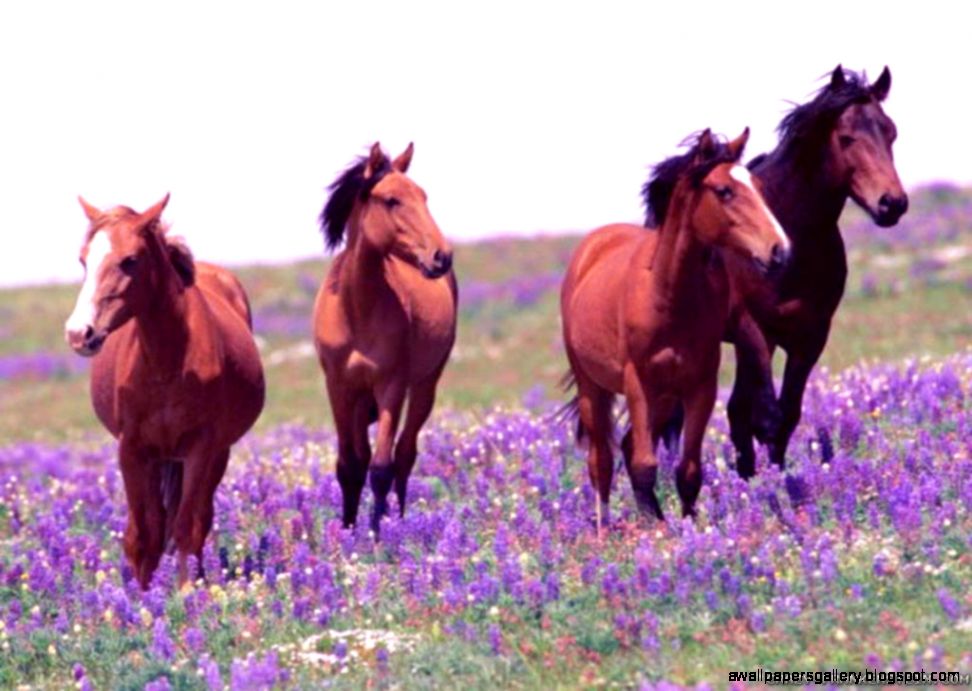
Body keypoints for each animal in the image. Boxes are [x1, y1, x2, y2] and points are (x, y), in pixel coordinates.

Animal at [64, 195, 265, 589]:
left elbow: (186, 527)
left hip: (215, 455)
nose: (80, 333)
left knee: (198, 519)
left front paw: (186, 592)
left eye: (129, 260)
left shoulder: (201, 448)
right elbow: (142, 535)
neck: (166, 363)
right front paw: (142, 598)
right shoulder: (133, 450)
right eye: (83, 259)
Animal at [313, 142, 457, 534]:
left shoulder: (391, 384)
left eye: (423, 196)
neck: (356, 310)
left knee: (404, 456)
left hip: (425, 385)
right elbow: (349, 466)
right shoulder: (339, 387)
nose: (442, 256)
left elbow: (381, 468)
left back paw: (401, 520)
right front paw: (347, 531)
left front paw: (379, 535)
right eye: (391, 200)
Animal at [560, 129, 789, 531]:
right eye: (724, 191)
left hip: (664, 398)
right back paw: (605, 533)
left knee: (626, 446)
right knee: (601, 461)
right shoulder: (637, 384)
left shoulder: (699, 386)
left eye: (758, 186)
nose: (779, 249)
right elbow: (644, 465)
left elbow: (688, 471)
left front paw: (688, 528)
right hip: (594, 387)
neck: (667, 296)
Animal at [678, 66, 907, 479]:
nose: (892, 203)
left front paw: (777, 479)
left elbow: (786, 417)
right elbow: (767, 418)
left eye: (891, 132)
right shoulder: (751, 327)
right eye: (846, 137)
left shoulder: (810, 335)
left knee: (737, 411)